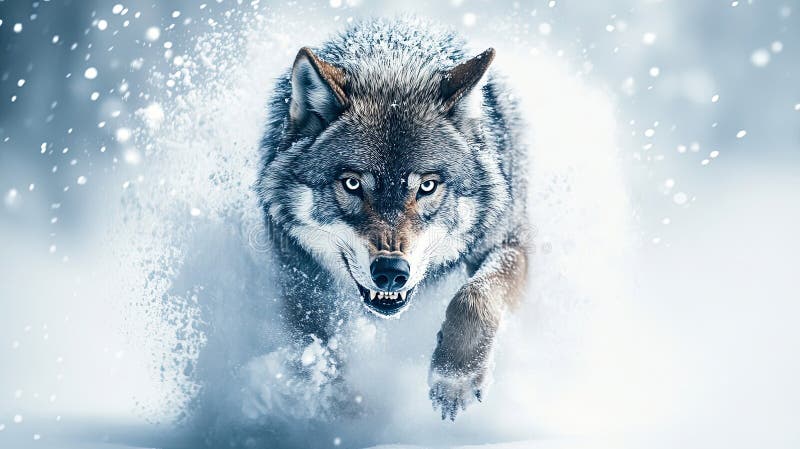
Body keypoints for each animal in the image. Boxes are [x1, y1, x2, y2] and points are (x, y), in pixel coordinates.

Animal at [257, 17, 529, 421]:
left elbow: (474, 295)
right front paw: (342, 406)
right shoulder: (297, 275)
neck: (392, 65)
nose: (390, 272)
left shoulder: (510, 239)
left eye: (427, 186)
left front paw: (455, 377)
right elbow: (323, 349)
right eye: (353, 183)